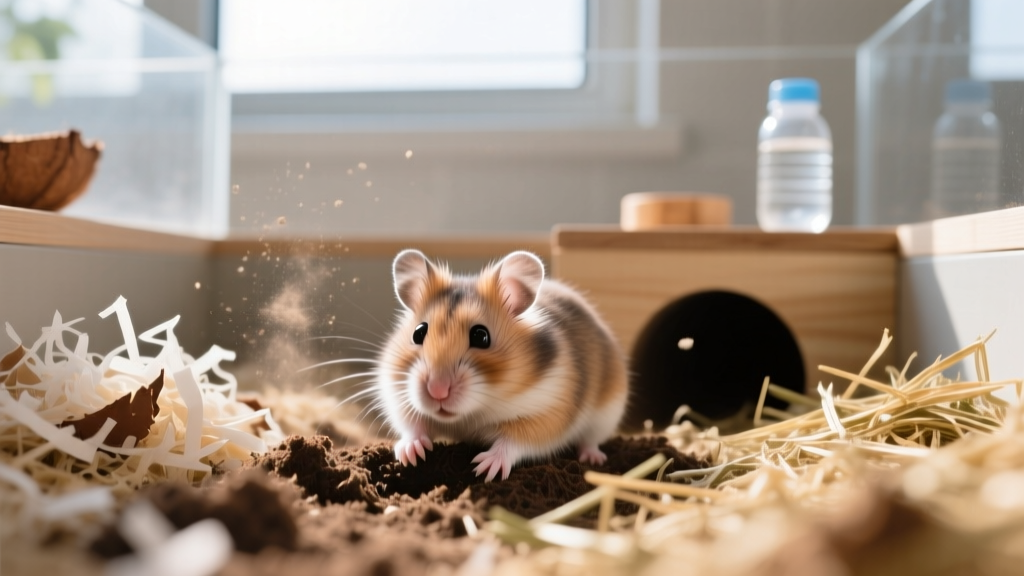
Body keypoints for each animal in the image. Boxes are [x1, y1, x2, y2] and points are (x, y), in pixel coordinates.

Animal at [374, 249, 629, 481]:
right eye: (418, 333)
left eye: (481, 336)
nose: (437, 391)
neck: (473, 412)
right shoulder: (398, 396)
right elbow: (412, 425)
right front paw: (410, 454)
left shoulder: (551, 411)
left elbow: (516, 440)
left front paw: (484, 468)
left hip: (605, 415)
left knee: (591, 440)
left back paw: (593, 459)